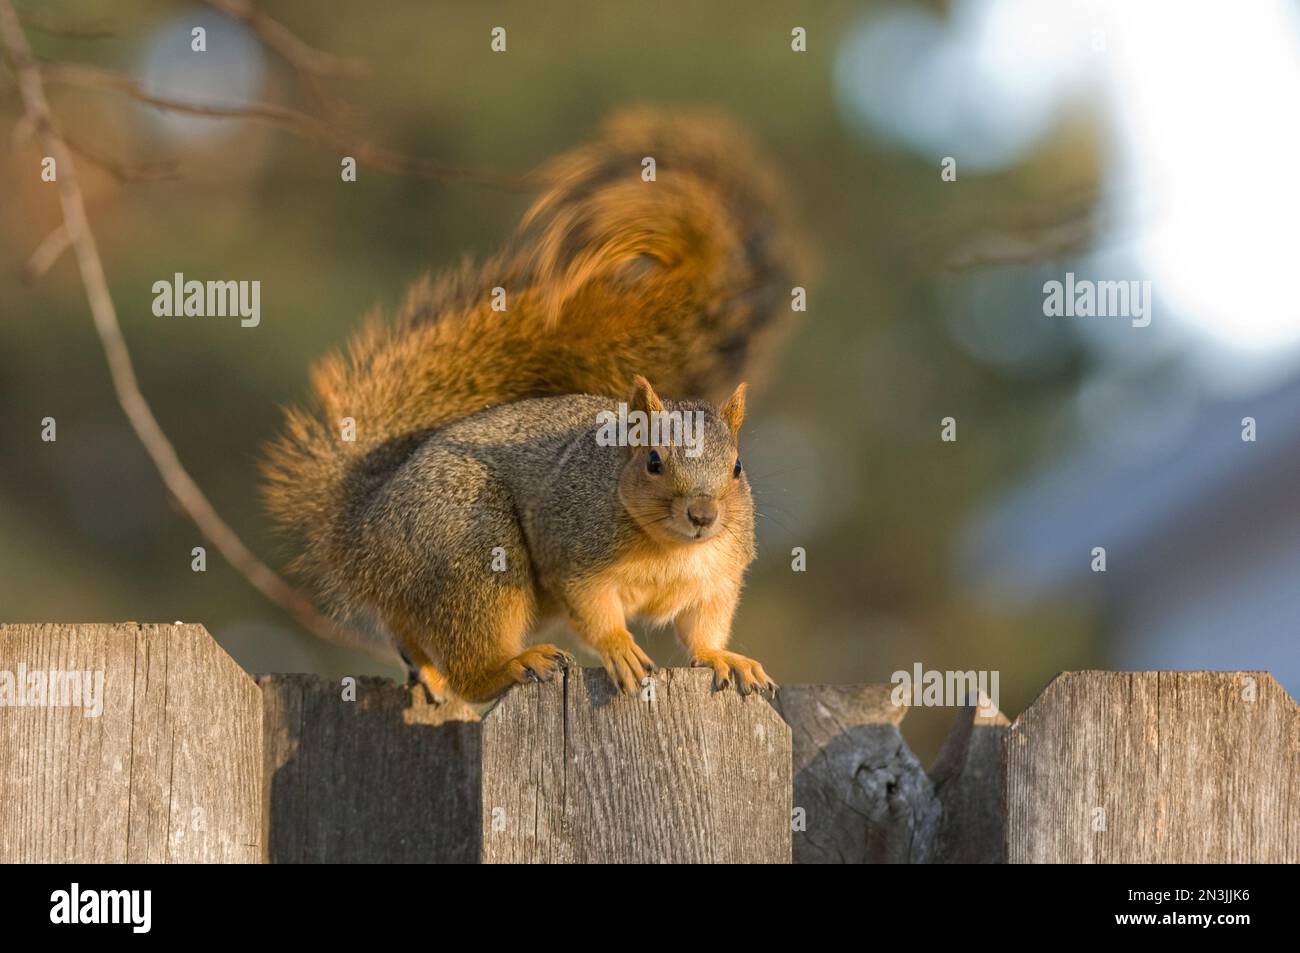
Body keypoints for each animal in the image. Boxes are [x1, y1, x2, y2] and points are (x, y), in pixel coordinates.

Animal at [261, 108, 800, 703]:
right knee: (470, 662)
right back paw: (510, 665)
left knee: (409, 628)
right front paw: (619, 648)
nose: (703, 516)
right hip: (470, 546)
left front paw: (726, 658)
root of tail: (359, 530)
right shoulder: (576, 557)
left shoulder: (719, 576)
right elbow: (594, 610)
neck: (669, 548)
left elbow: (704, 626)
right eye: (654, 461)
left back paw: (427, 668)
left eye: (738, 467)